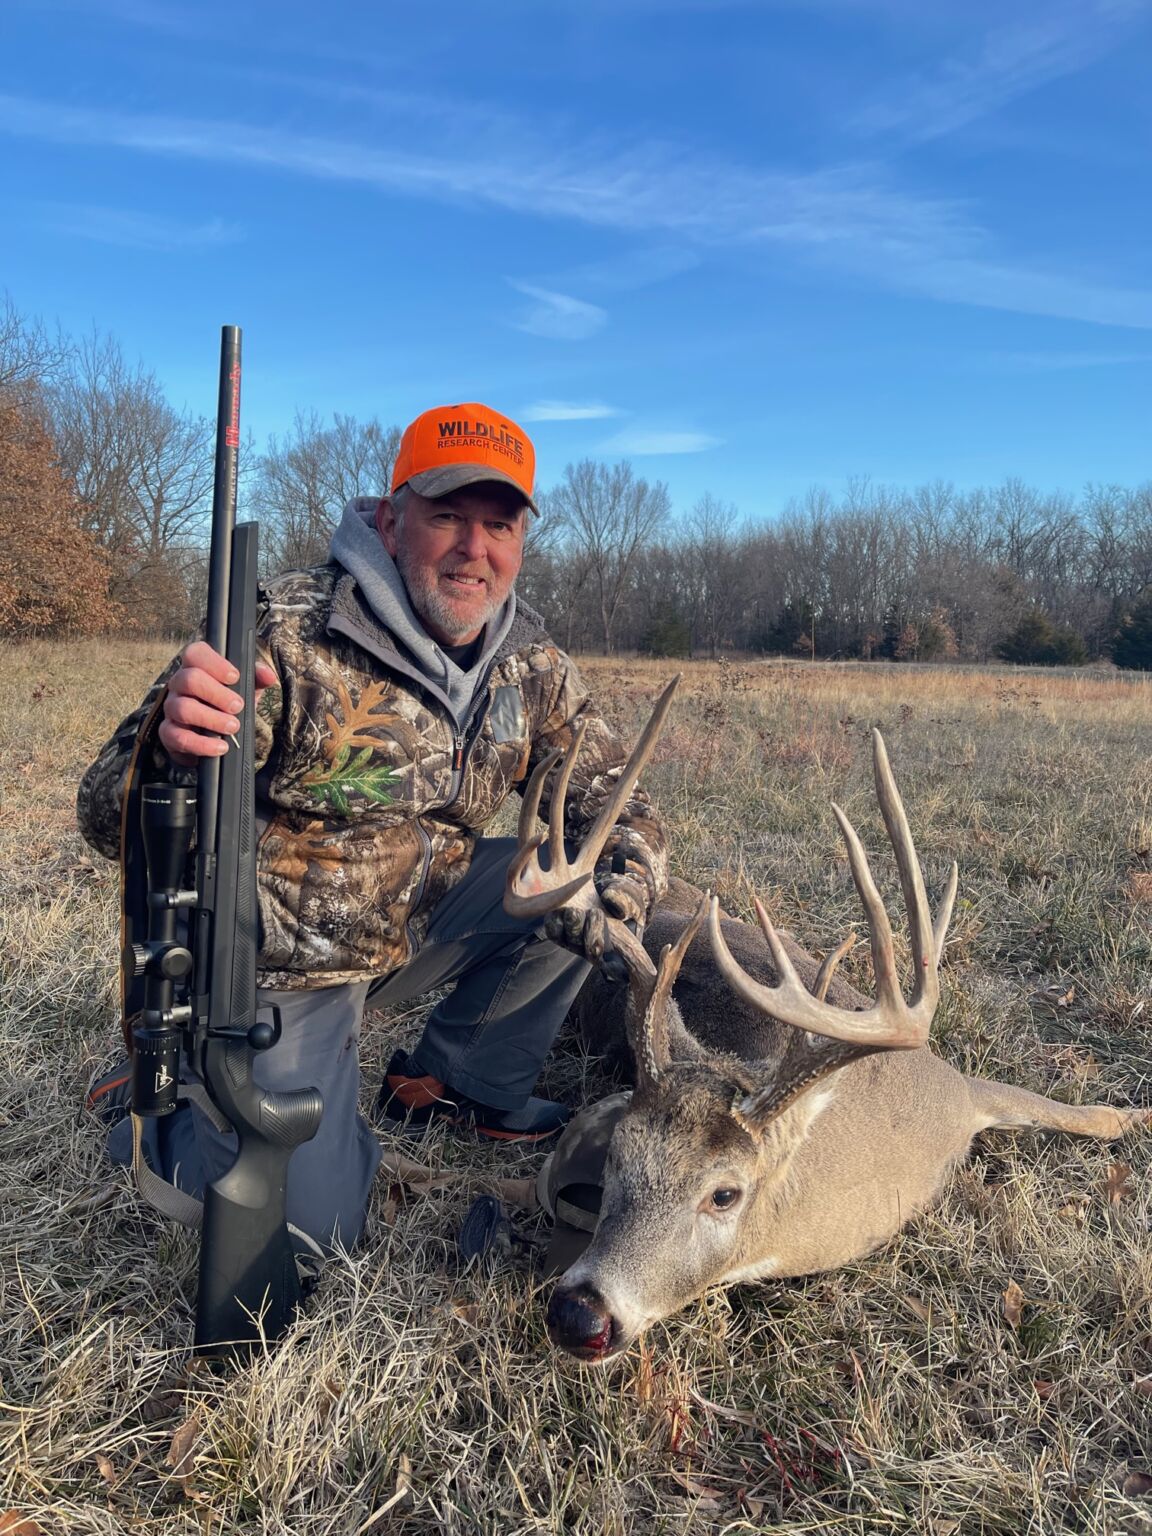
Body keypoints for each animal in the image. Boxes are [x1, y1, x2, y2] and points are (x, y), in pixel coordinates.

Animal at [504, 678, 1149, 1363]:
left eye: (724, 1193)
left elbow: (1087, 1114)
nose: (579, 1314)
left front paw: (1136, 1115)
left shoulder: (959, 1084)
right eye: (615, 1157)